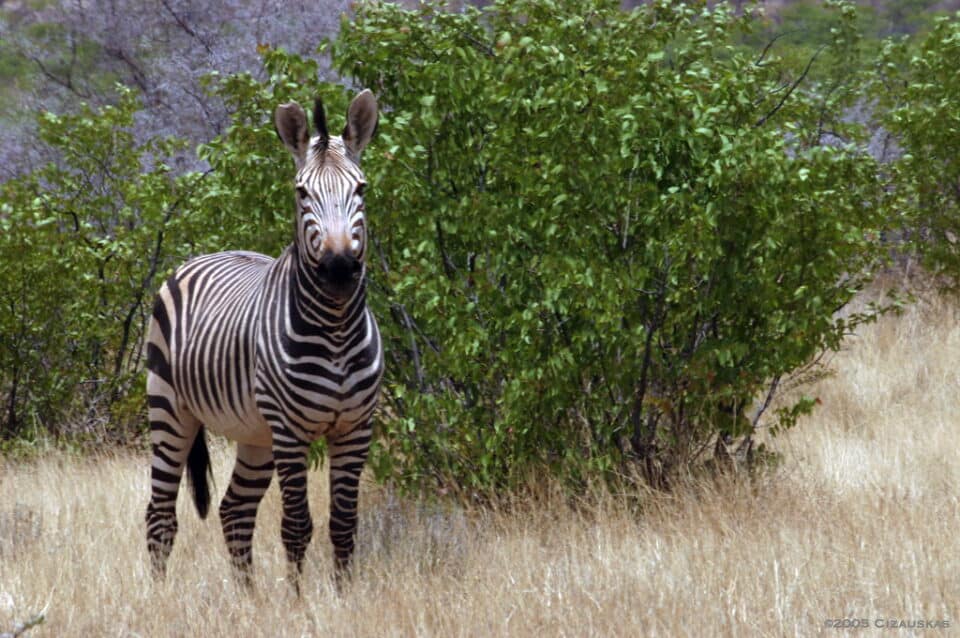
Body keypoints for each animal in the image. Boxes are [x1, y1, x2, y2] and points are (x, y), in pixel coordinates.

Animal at [144, 90, 382, 589]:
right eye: (301, 192)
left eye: (361, 189)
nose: (338, 271)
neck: (335, 329)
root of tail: (203, 255)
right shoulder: (290, 431)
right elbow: (296, 525)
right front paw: (298, 601)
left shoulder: (356, 428)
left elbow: (343, 523)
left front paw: (343, 596)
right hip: (169, 410)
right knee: (160, 515)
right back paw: (158, 595)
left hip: (255, 434)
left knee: (235, 509)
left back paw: (247, 597)